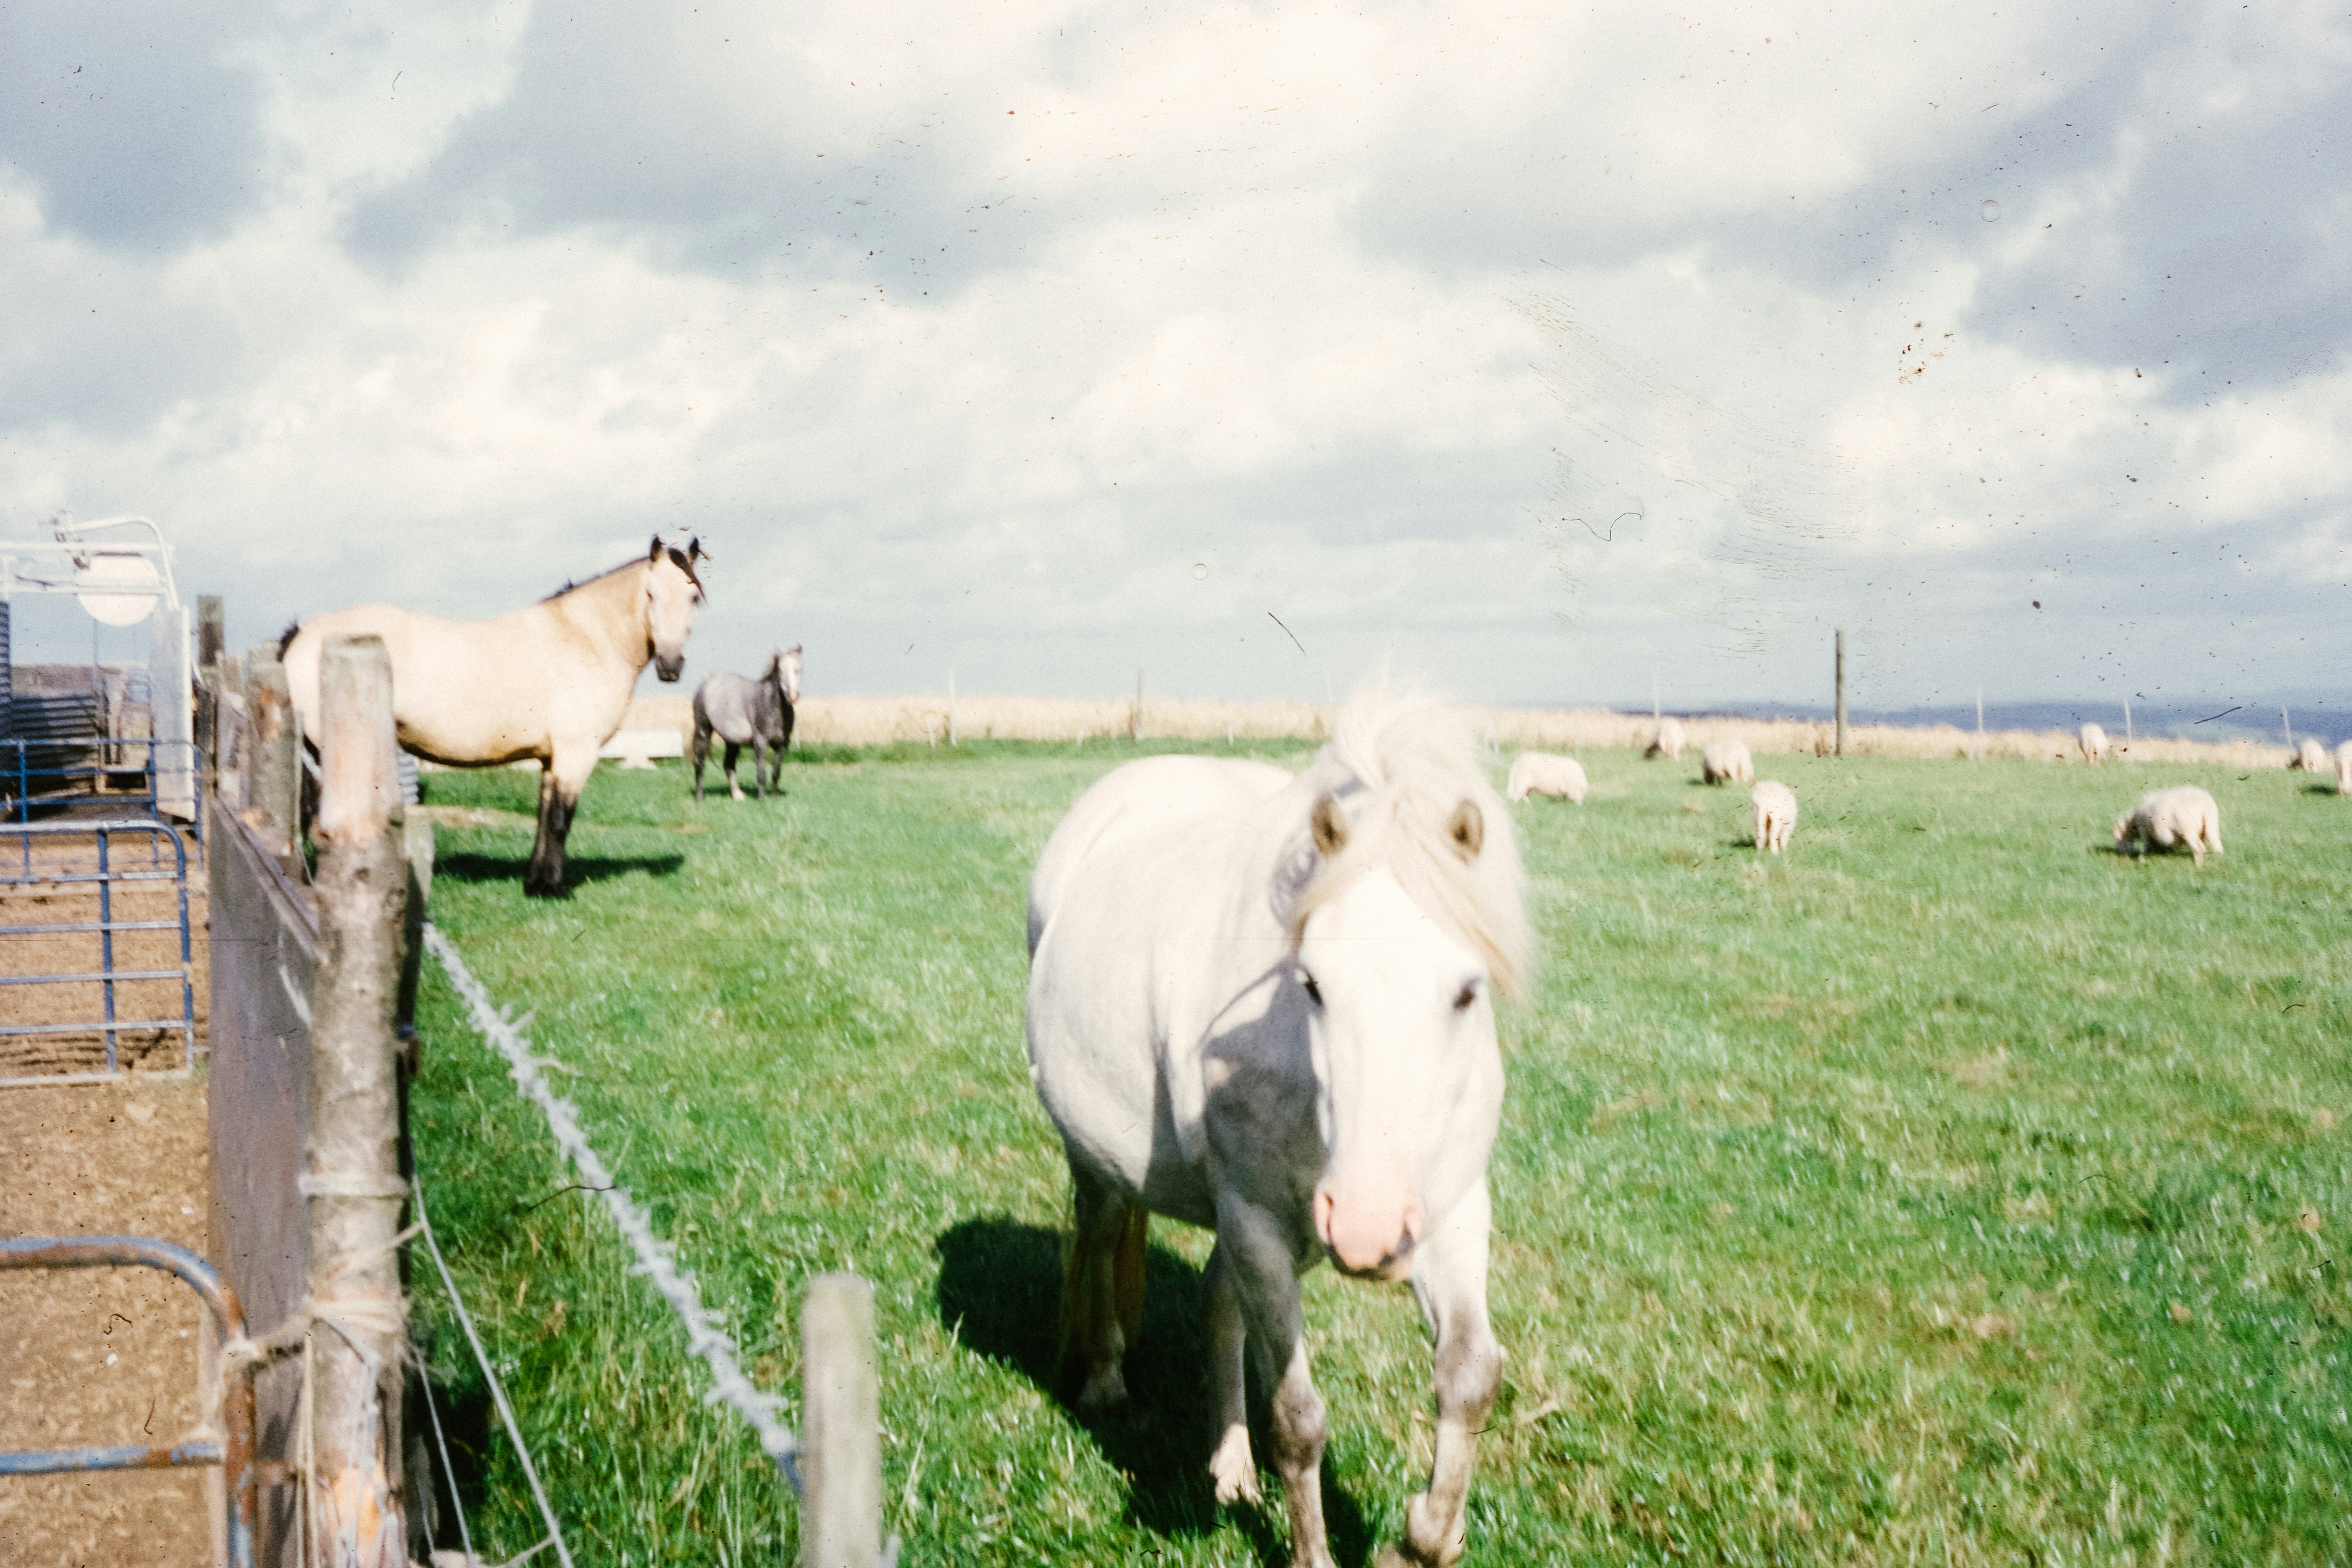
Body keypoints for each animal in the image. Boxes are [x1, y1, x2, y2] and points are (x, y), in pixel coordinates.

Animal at [283, 537, 706, 896]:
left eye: (693, 597)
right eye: (651, 594)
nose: (671, 666)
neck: (584, 641)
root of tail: (303, 634)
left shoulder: (551, 759)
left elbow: (543, 816)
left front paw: (535, 883)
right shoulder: (576, 756)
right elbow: (561, 820)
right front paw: (555, 889)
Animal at [692, 645, 800, 801]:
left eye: (798, 670)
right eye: (780, 671)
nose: (793, 696)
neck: (771, 706)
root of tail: (707, 681)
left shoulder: (782, 746)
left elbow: (776, 772)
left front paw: (774, 797)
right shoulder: (760, 743)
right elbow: (761, 773)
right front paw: (762, 800)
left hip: (732, 742)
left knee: (729, 764)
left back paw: (738, 796)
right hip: (703, 732)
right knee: (699, 763)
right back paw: (700, 797)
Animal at [1024, 691, 1530, 1568]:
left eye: (1467, 990)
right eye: (1313, 983)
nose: (1365, 1226)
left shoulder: (1453, 1209)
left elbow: (1470, 1375)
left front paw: (1416, 1540)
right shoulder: (1256, 1219)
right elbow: (1297, 1420)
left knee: (1216, 1300)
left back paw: (1229, 1467)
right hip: (1108, 1164)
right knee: (1101, 1230)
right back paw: (1104, 1375)